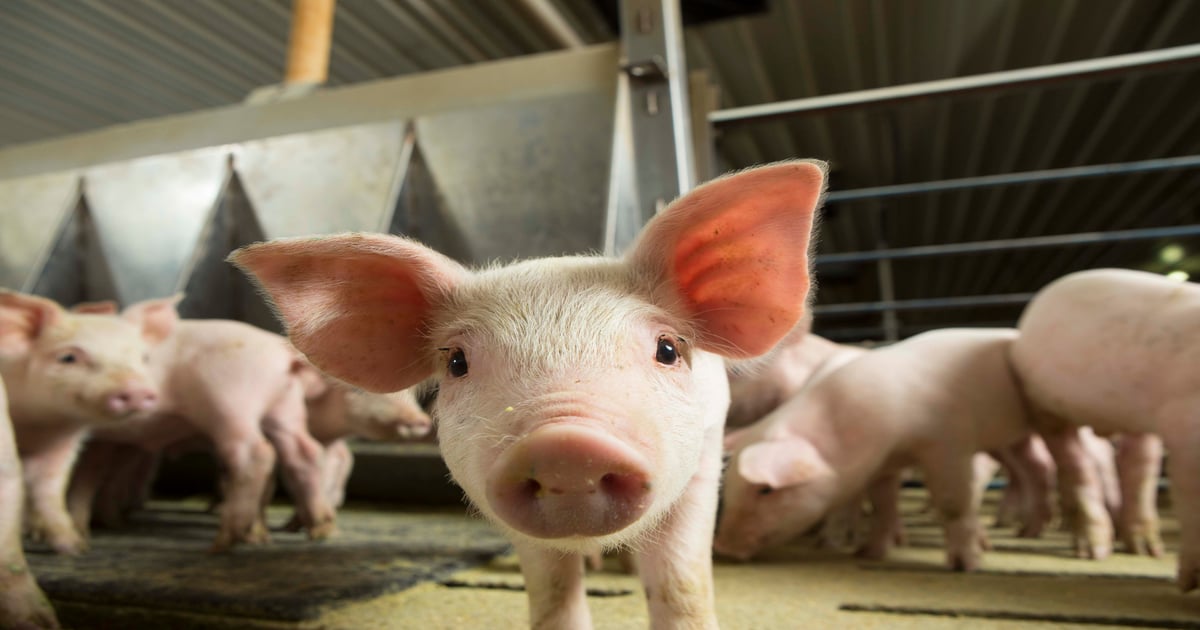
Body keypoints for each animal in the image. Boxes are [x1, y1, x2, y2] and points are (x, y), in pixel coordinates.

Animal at [0, 290, 160, 554]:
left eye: (144, 357)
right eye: (68, 357)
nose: (135, 390)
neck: (40, 425)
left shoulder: (63, 442)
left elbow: (50, 488)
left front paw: (76, 547)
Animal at [65, 300, 333, 552]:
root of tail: (284, 355)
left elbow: (82, 474)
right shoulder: (111, 441)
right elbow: (93, 474)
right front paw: (98, 525)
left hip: (230, 403)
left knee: (255, 452)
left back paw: (225, 541)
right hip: (285, 409)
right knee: (304, 451)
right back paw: (318, 529)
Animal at [231, 160, 827, 629]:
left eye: (668, 349)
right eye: (457, 362)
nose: (567, 445)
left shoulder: (704, 461)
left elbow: (681, 582)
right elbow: (552, 591)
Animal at [714, 328, 1108, 571]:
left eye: (765, 490)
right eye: (729, 490)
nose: (723, 548)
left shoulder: (947, 444)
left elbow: (952, 503)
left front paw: (965, 565)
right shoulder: (885, 465)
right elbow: (884, 504)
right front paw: (869, 553)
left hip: (1046, 413)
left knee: (1067, 461)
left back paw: (1076, 547)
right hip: (1009, 437)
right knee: (1033, 467)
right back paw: (1028, 531)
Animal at [1010, 268, 1199, 591]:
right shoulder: (1187, 425)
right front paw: (1186, 585)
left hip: (1137, 417)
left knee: (1139, 467)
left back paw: (1145, 550)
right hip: (1042, 401)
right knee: (1075, 463)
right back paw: (1093, 553)